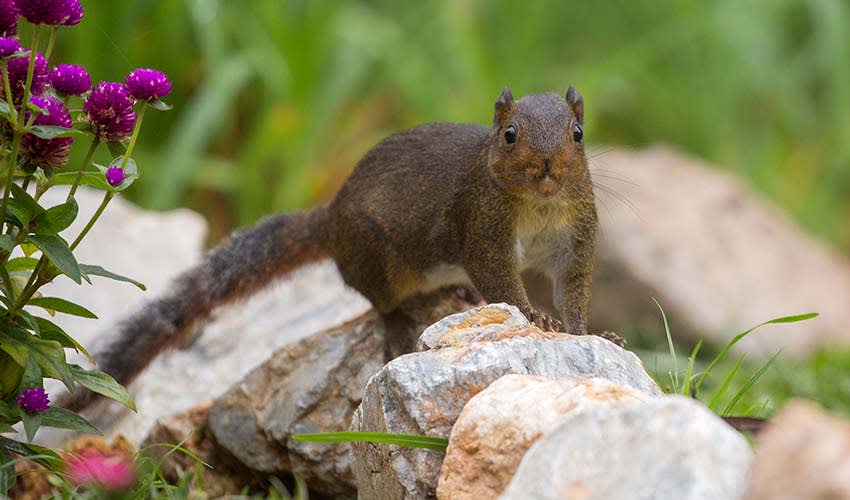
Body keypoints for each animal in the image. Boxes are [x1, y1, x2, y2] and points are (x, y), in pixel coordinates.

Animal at [64, 86, 610, 411]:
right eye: (510, 135)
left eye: (578, 134)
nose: (548, 167)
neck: (540, 205)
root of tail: (330, 220)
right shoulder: (482, 226)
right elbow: (498, 277)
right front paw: (532, 315)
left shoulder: (576, 235)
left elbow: (574, 286)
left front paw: (589, 331)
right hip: (378, 261)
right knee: (380, 302)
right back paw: (400, 322)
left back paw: (457, 294)